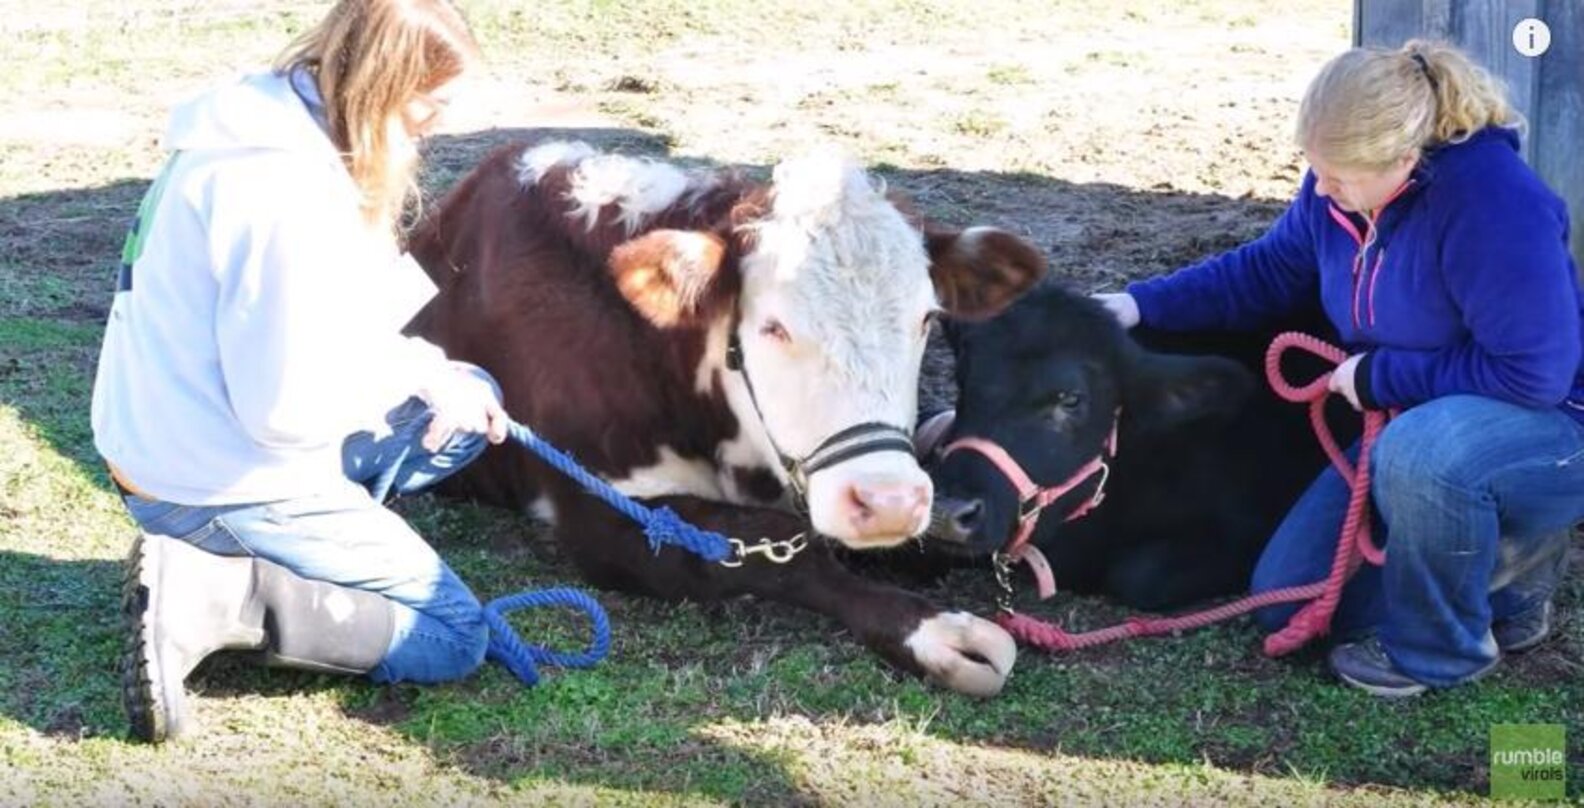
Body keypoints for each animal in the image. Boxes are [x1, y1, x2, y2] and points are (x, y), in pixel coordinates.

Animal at [405, 141, 1045, 695]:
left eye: (926, 318)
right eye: (773, 327)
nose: (887, 503)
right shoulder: (598, 514)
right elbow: (777, 554)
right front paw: (939, 634)